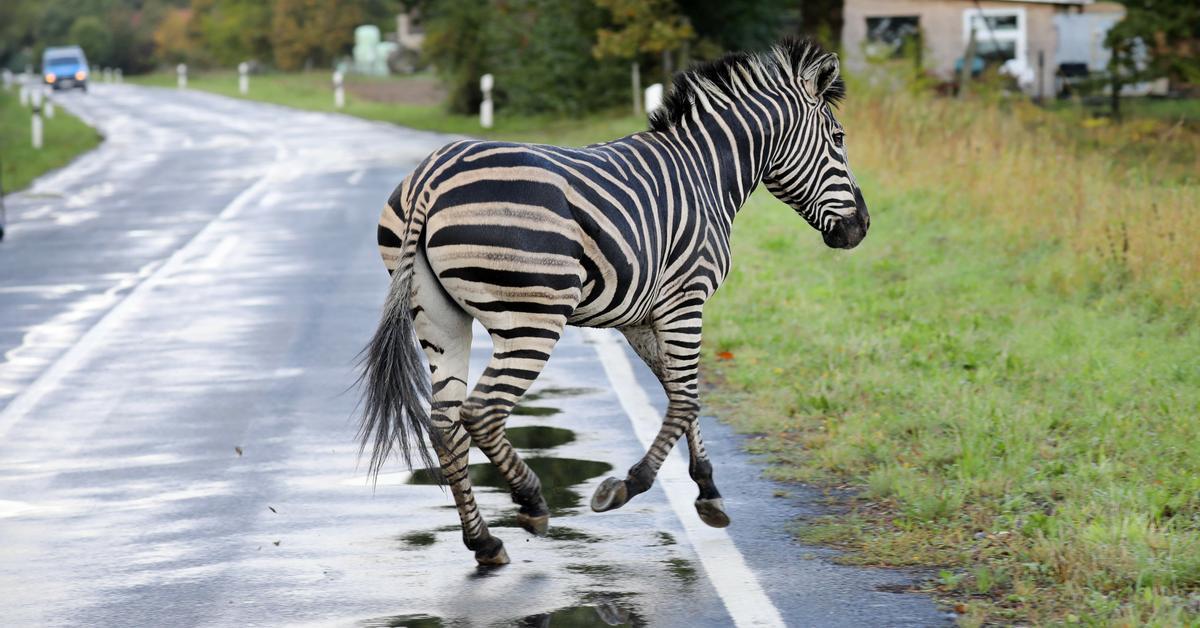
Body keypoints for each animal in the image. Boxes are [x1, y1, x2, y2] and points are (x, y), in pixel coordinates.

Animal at [360, 37, 869, 565]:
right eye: (838, 138)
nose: (861, 228)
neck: (706, 172)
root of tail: (431, 178)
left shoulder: (641, 318)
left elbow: (679, 392)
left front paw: (708, 491)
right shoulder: (686, 300)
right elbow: (686, 398)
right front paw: (629, 485)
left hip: (439, 318)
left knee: (444, 423)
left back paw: (484, 542)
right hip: (532, 318)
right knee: (480, 412)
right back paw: (531, 501)